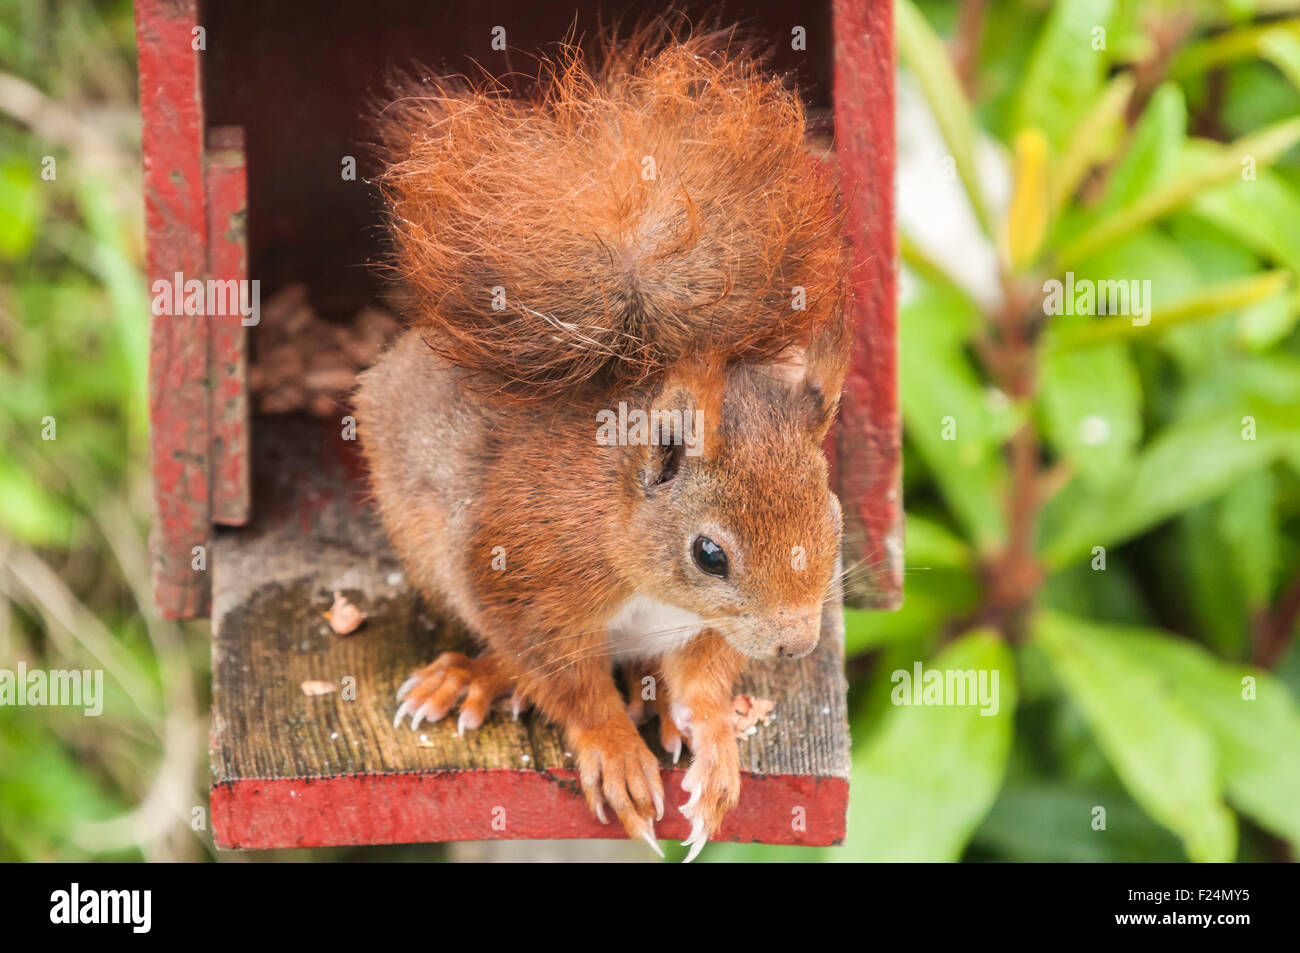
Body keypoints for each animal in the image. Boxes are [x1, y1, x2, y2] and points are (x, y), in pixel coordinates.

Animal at [354, 24, 851, 861]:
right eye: (709, 553)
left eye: (834, 518)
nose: (793, 646)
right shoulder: (524, 574)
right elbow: (566, 679)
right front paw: (615, 750)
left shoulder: (704, 629)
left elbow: (700, 678)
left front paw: (713, 739)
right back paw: (477, 676)